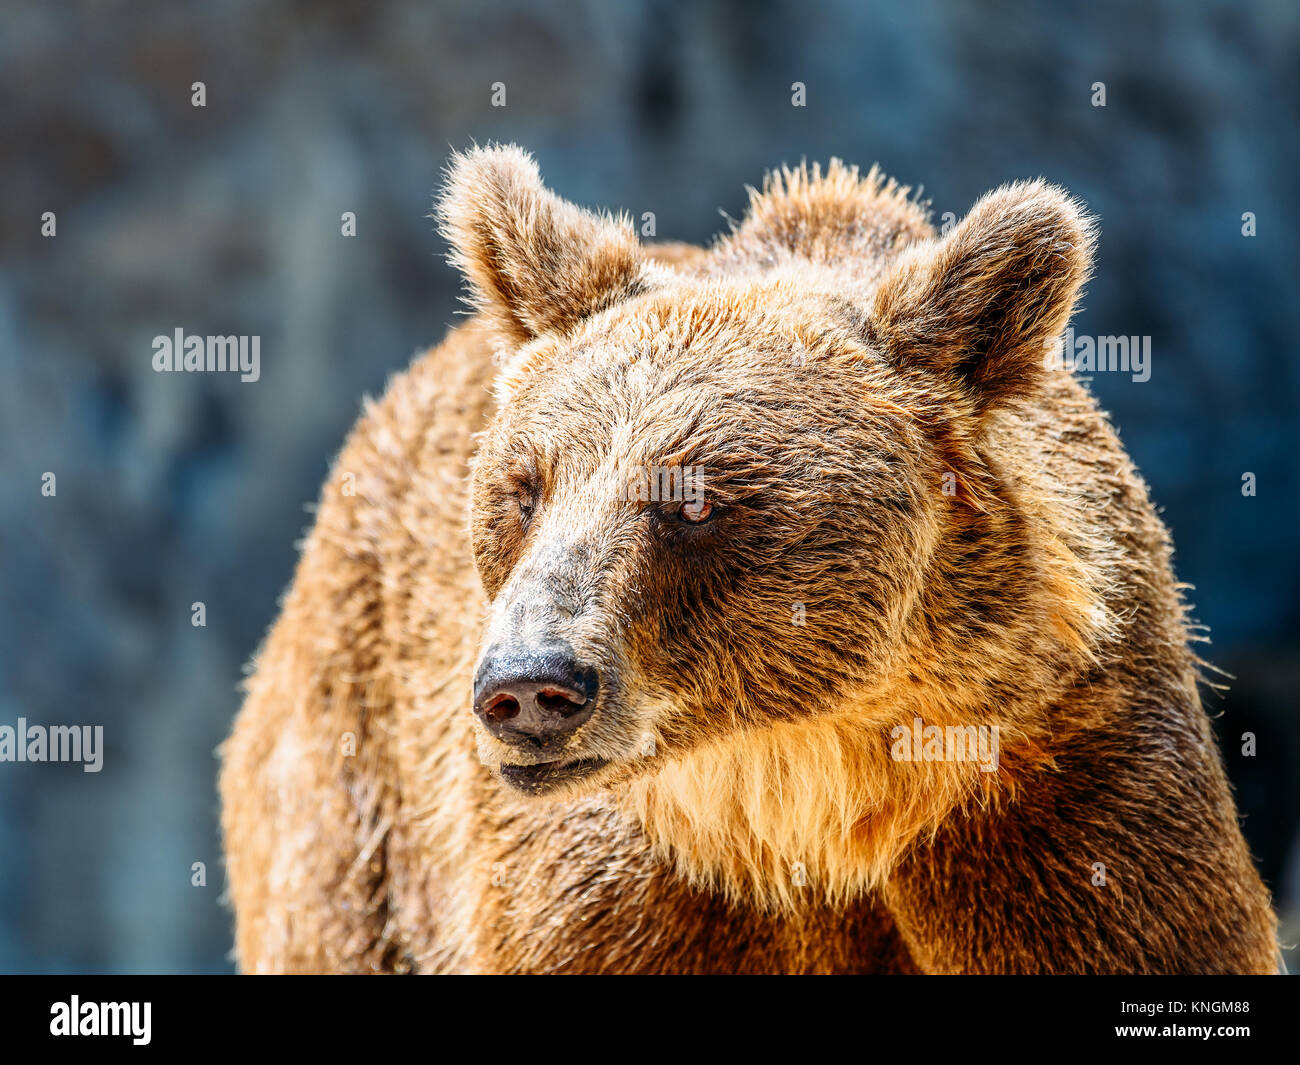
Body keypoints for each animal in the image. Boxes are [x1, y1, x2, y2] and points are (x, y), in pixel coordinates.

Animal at [218, 144, 1279, 974]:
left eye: (691, 501)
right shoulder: (612, 891)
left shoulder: (1065, 800)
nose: (530, 685)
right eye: (524, 486)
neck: (807, 792)